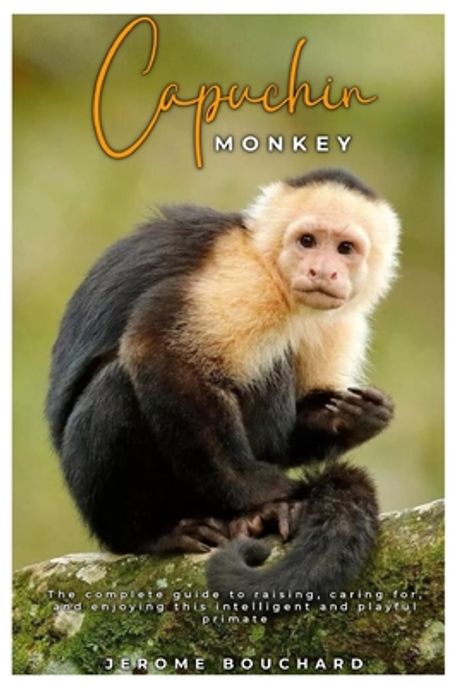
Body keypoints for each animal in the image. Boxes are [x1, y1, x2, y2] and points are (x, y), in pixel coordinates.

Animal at [46, 167, 399, 600]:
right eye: (308, 241)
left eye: (345, 248)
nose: (323, 271)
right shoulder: (244, 280)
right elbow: (161, 351)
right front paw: (265, 493)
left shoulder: (341, 321)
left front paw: (356, 419)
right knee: (119, 386)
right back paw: (152, 534)